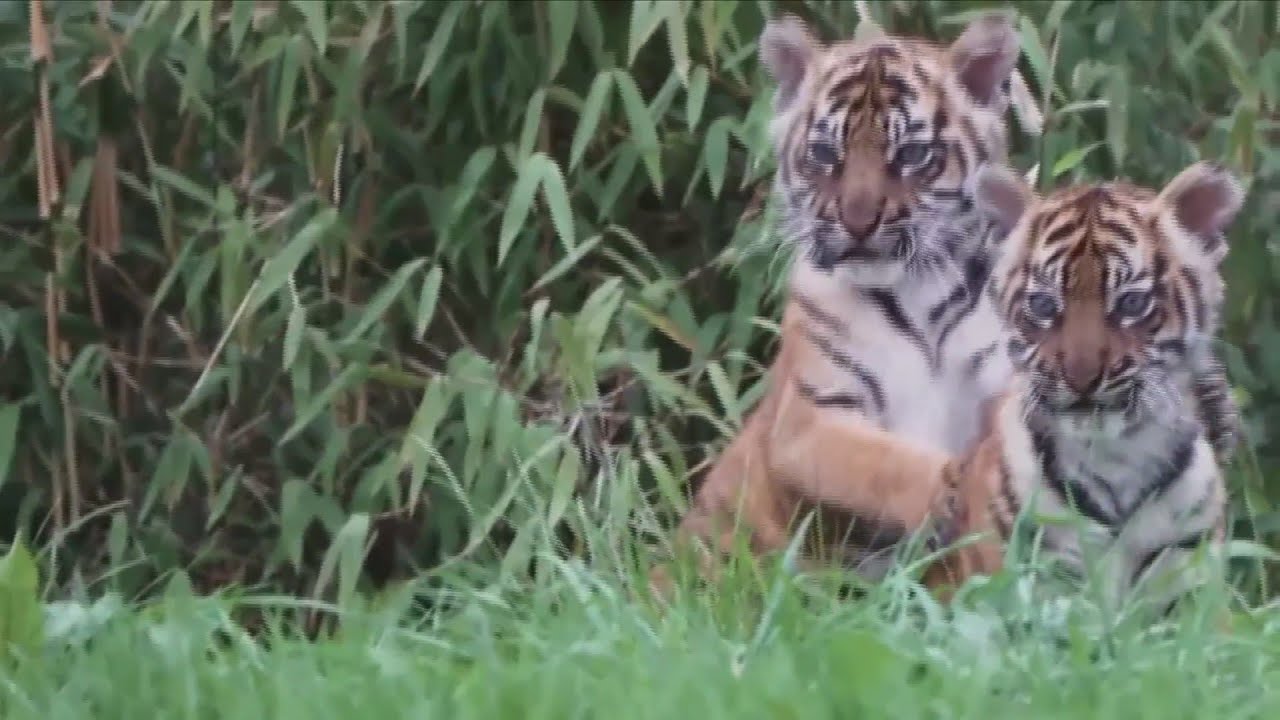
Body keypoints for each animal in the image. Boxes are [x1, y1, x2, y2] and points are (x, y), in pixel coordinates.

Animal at [648, 11, 1044, 596]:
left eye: (912, 155)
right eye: (823, 153)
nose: (857, 223)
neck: (920, 294)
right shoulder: (808, 421)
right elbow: (880, 464)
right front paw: (949, 494)